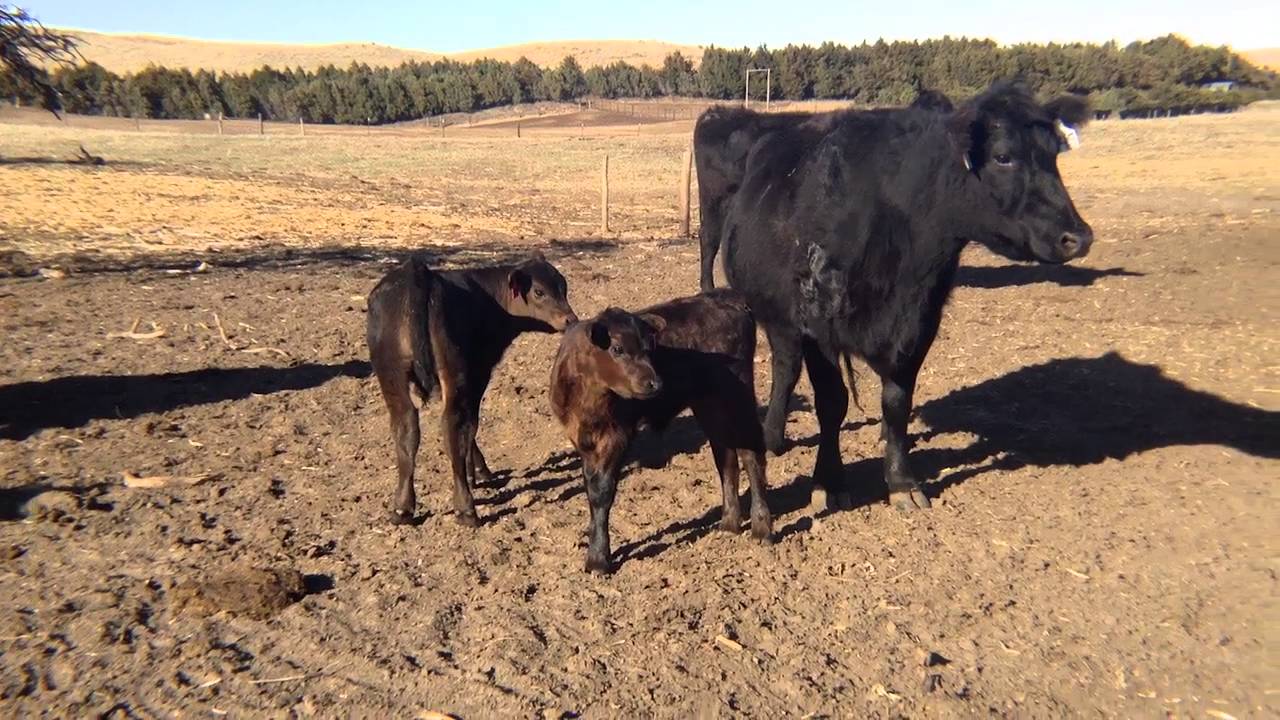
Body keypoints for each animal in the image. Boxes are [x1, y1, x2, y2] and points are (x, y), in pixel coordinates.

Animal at [366, 252, 577, 527]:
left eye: (563, 287)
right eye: (539, 291)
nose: (570, 319)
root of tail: (418, 273)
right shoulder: (478, 374)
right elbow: (472, 425)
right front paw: (477, 472)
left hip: (392, 377)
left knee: (406, 429)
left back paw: (402, 508)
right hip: (454, 375)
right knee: (452, 429)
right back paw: (466, 508)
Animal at [549, 290, 772, 574]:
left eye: (649, 348)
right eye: (617, 348)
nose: (655, 383)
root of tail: (726, 297)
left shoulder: (617, 435)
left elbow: (602, 492)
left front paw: (598, 558)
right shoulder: (583, 439)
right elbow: (591, 489)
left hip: (737, 398)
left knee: (751, 455)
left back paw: (761, 528)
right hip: (709, 406)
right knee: (725, 456)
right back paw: (729, 523)